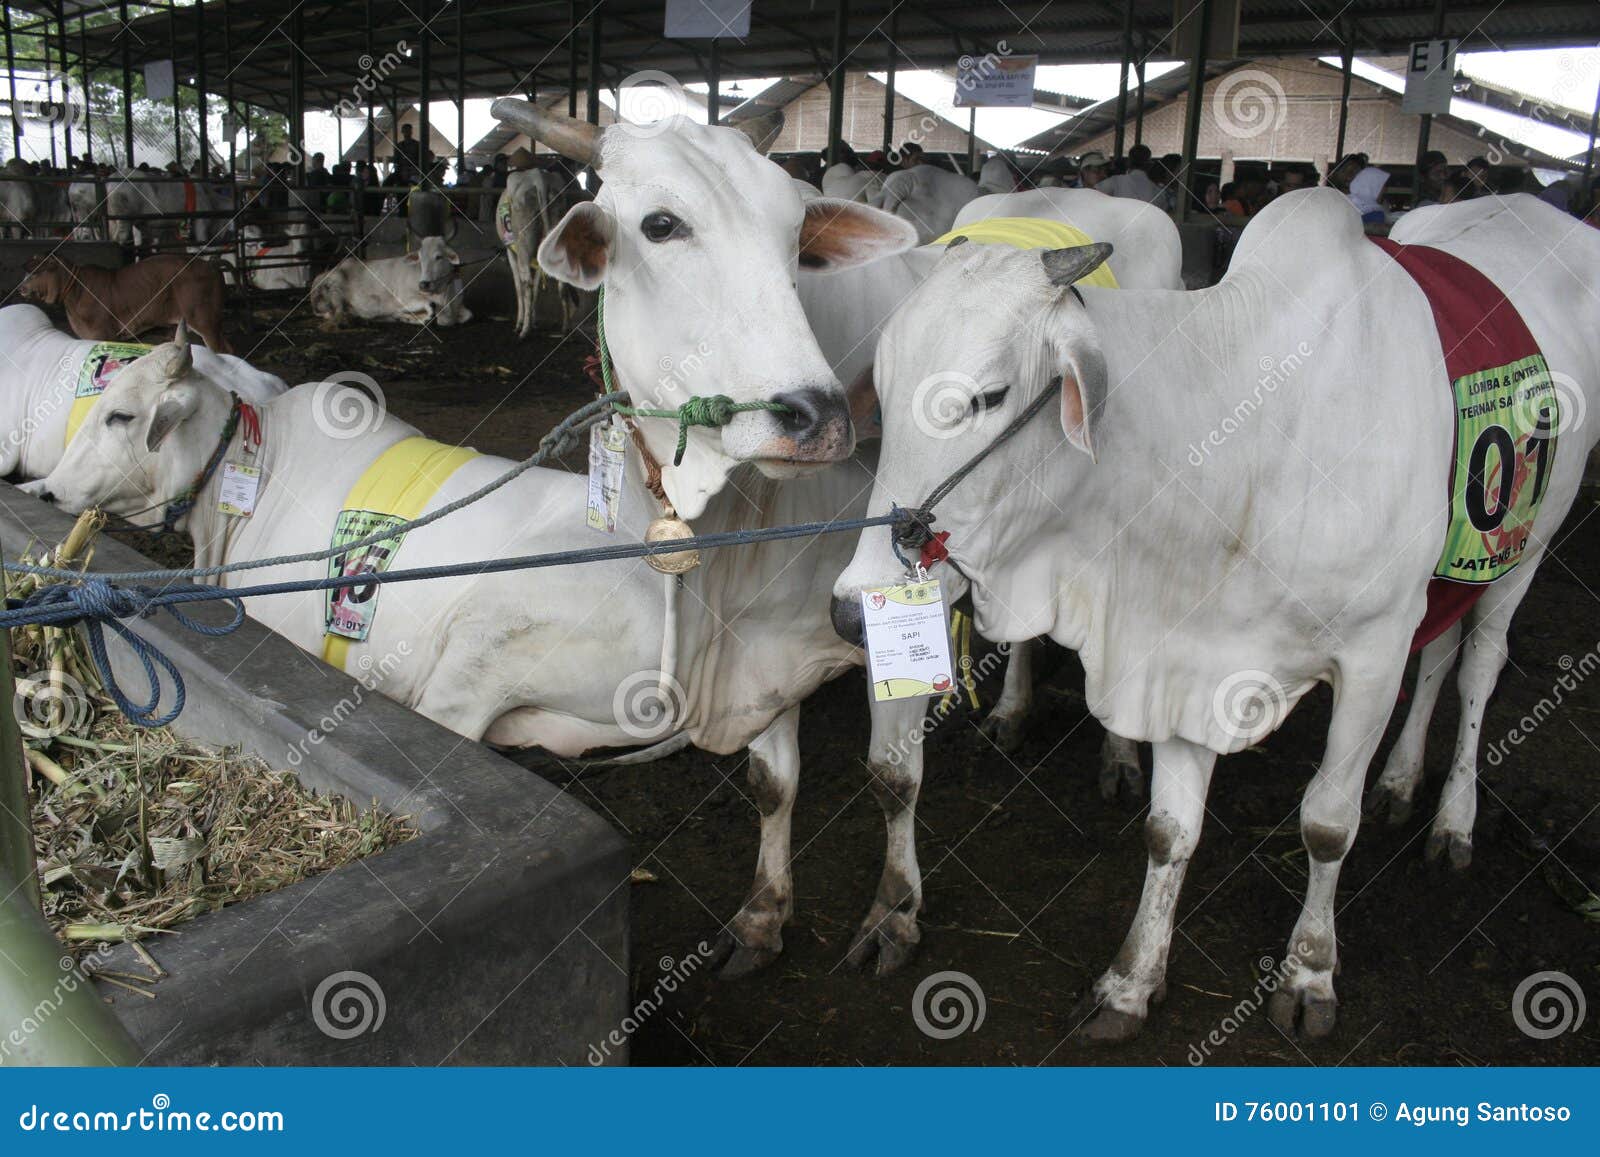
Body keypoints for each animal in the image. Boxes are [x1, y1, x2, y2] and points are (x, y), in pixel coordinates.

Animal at [18, 253, 233, 355]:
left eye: (35, 271)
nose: (21, 288)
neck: (76, 288)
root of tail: (210, 264)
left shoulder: (103, 334)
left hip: (205, 321)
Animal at [309, 236, 472, 327]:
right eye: (420, 257)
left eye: (439, 257)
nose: (423, 284)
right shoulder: (404, 298)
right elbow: (430, 307)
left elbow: (468, 316)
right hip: (334, 288)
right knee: (338, 313)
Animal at [829, 188, 1600, 1038]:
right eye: (883, 389)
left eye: (987, 397)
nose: (854, 608)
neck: (1249, 446)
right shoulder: (1185, 653)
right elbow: (1171, 831)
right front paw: (1133, 980)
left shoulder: (1372, 653)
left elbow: (1328, 823)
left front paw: (1311, 972)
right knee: (1439, 656)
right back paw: (1402, 780)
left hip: (1525, 549)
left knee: (1477, 667)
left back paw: (1454, 817)